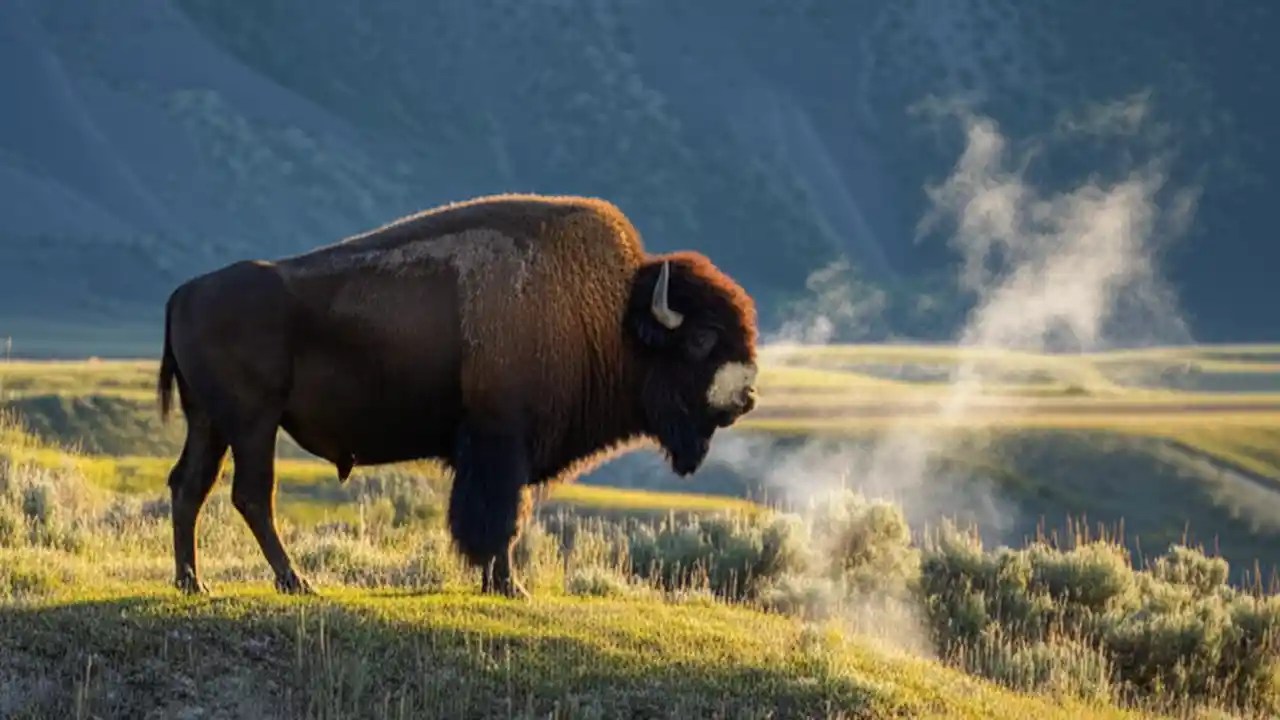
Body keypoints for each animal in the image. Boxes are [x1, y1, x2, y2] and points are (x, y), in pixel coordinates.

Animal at [157, 193, 759, 597]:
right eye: (702, 338)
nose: (748, 396)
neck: (611, 318)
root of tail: (185, 291)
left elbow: (508, 520)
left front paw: (502, 583)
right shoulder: (499, 445)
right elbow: (499, 520)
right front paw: (509, 586)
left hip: (209, 422)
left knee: (190, 486)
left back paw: (193, 583)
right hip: (252, 423)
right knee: (252, 495)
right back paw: (294, 581)